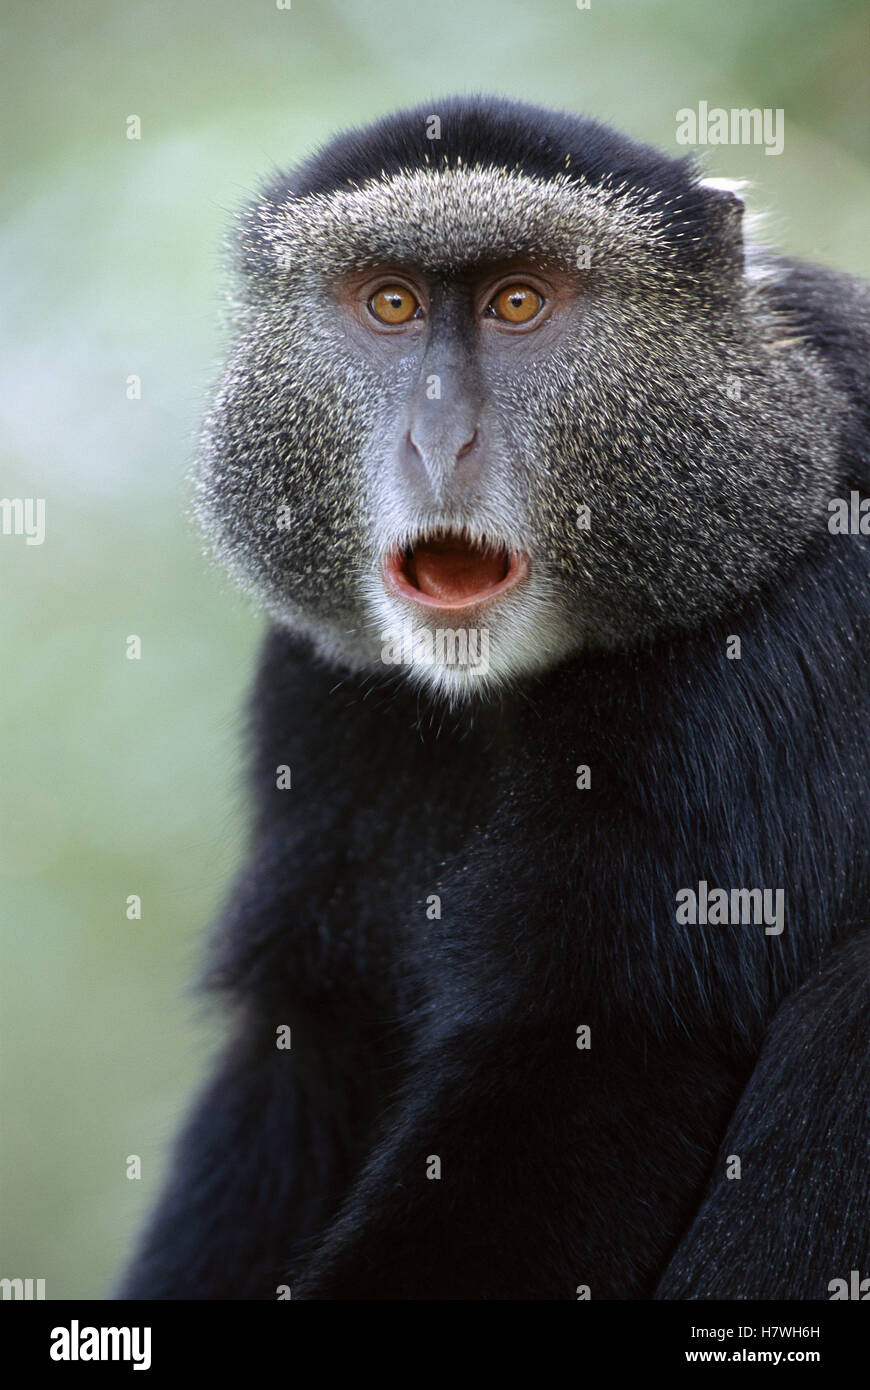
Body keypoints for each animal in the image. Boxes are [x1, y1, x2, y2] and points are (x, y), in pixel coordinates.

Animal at [118, 95, 870, 1301]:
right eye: (390, 302)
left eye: (519, 301)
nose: (439, 440)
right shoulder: (320, 688)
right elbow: (308, 1042)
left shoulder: (789, 628)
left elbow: (593, 1064)